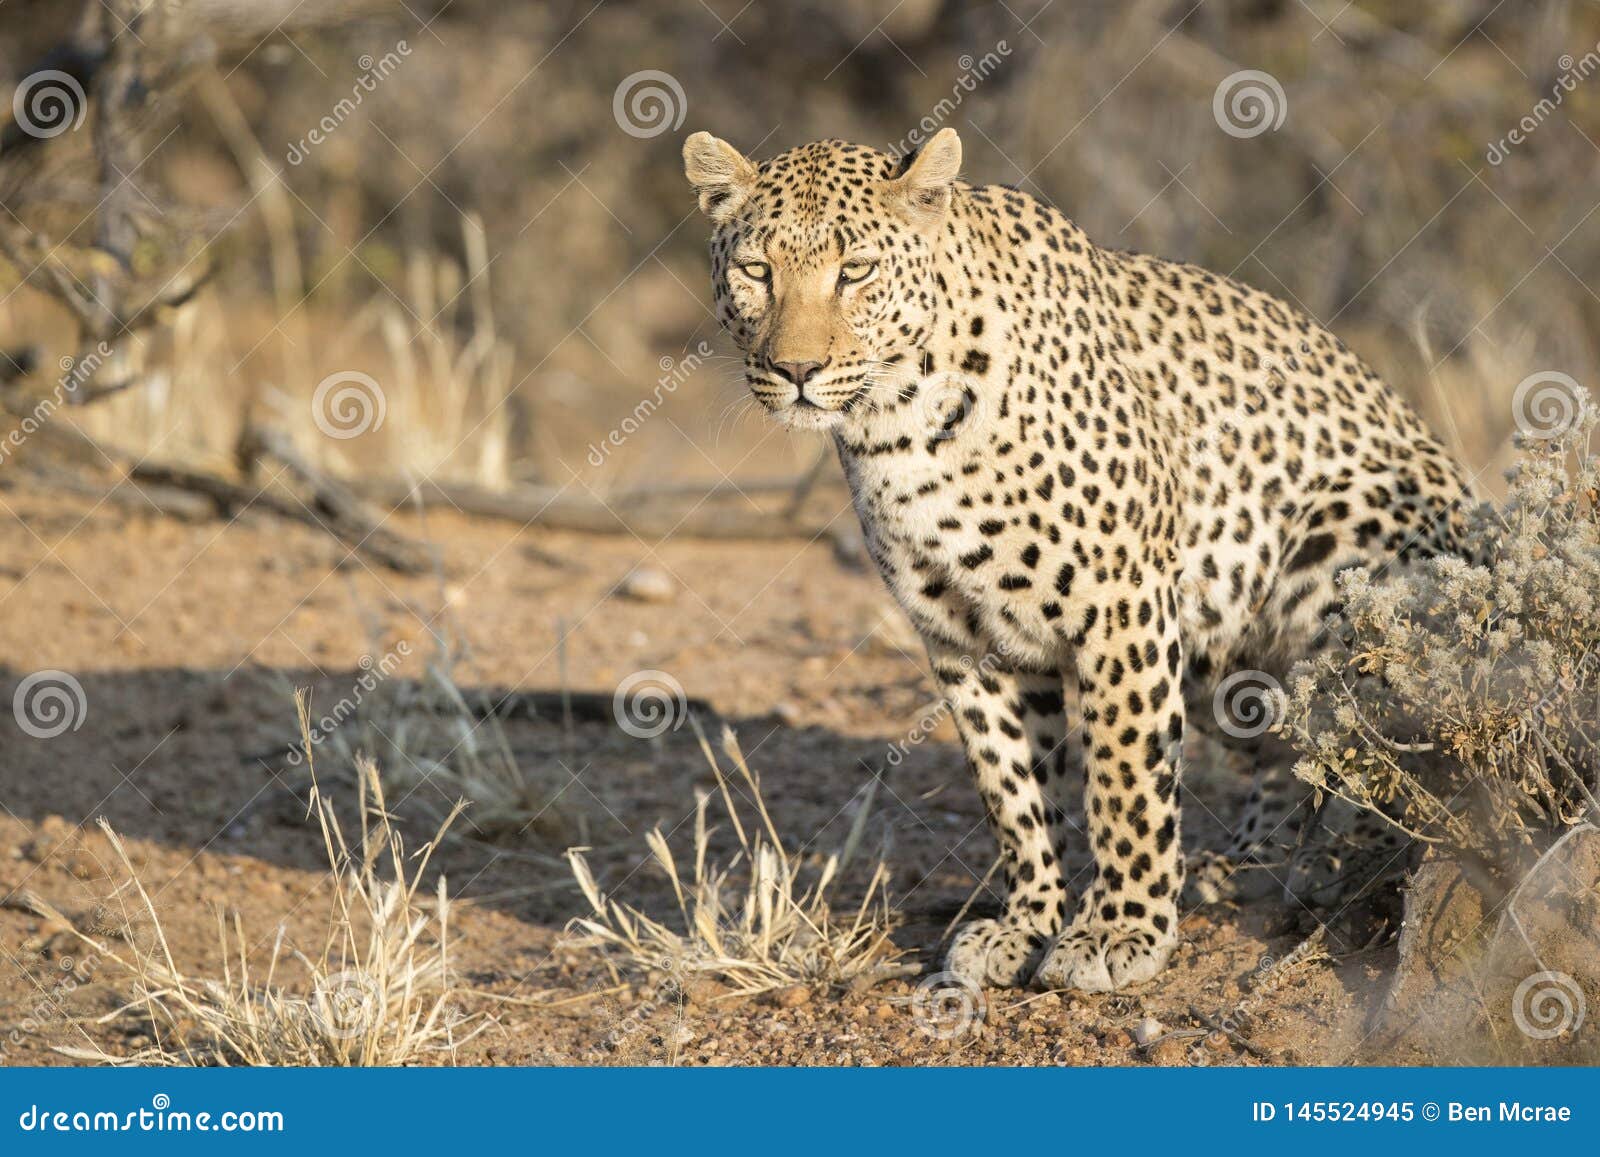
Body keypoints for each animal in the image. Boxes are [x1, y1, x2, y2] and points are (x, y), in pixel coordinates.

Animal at [682, 126, 1472, 993]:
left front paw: (1117, 931)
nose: (796, 372)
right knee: (1277, 750)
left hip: (1337, 559)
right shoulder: (964, 639)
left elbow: (1126, 777)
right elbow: (1014, 791)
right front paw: (1026, 923)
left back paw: (1331, 858)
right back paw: (1247, 863)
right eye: (758, 271)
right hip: (1216, 654)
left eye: (854, 270)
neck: (894, 427)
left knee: (1382, 757)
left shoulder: (1121, 605)